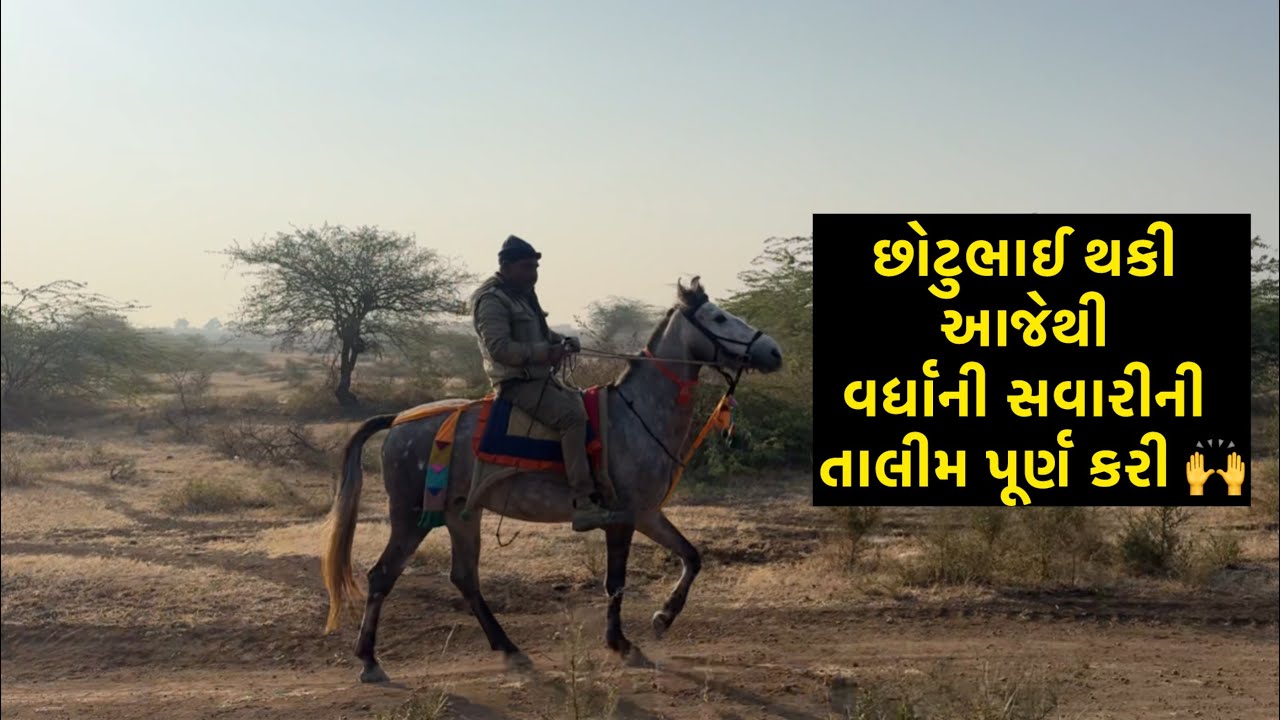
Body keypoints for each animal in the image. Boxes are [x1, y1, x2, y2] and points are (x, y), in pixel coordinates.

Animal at [320, 276, 784, 683]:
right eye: (718, 317)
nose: (774, 351)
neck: (636, 413)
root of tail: (400, 419)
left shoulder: (647, 513)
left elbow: (692, 556)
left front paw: (663, 618)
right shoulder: (621, 516)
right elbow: (616, 582)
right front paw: (621, 644)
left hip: (460, 515)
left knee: (464, 578)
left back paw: (510, 650)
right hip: (411, 515)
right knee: (382, 575)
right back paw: (369, 661)